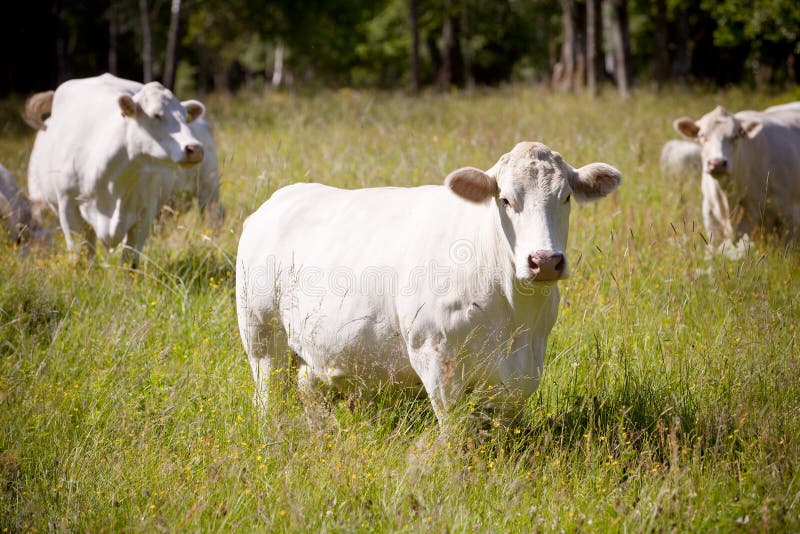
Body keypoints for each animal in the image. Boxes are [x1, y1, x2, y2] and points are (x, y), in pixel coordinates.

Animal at [25, 73, 207, 267]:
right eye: (156, 115)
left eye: (186, 117)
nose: (195, 148)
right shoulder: (67, 205)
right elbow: (79, 257)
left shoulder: (146, 211)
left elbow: (130, 261)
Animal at [236, 142, 622, 427]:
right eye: (506, 199)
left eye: (566, 196)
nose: (544, 261)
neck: (514, 311)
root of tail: (279, 199)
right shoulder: (435, 356)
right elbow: (453, 429)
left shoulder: (525, 366)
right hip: (262, 337)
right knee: (267, 397)